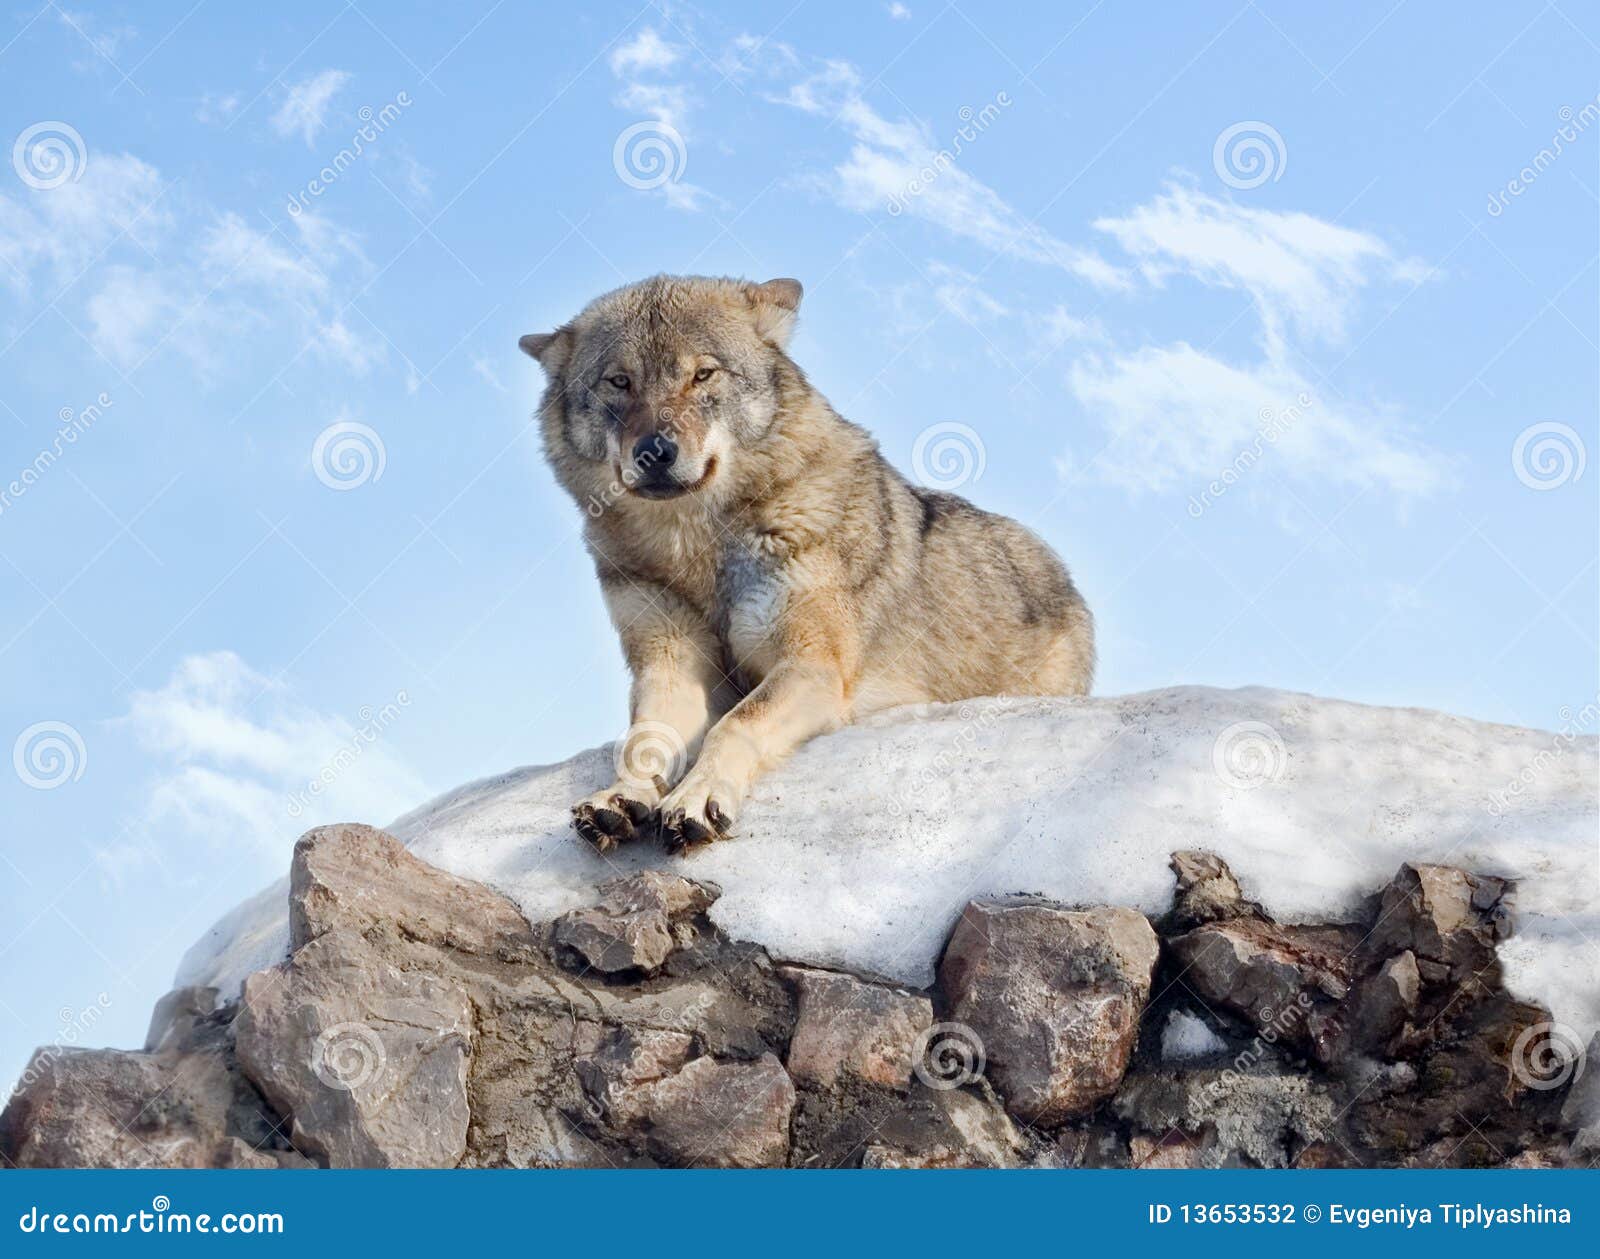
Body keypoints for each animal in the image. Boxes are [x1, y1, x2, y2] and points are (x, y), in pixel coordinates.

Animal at [519, 275, 1094, 852]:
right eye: (619, 382)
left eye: (703, 373)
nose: (654, 451)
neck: (698, 547)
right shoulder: (671, 664)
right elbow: (644, 739)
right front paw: (619, 798)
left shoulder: (811, 666)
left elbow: (736, 723)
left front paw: (696, 799)